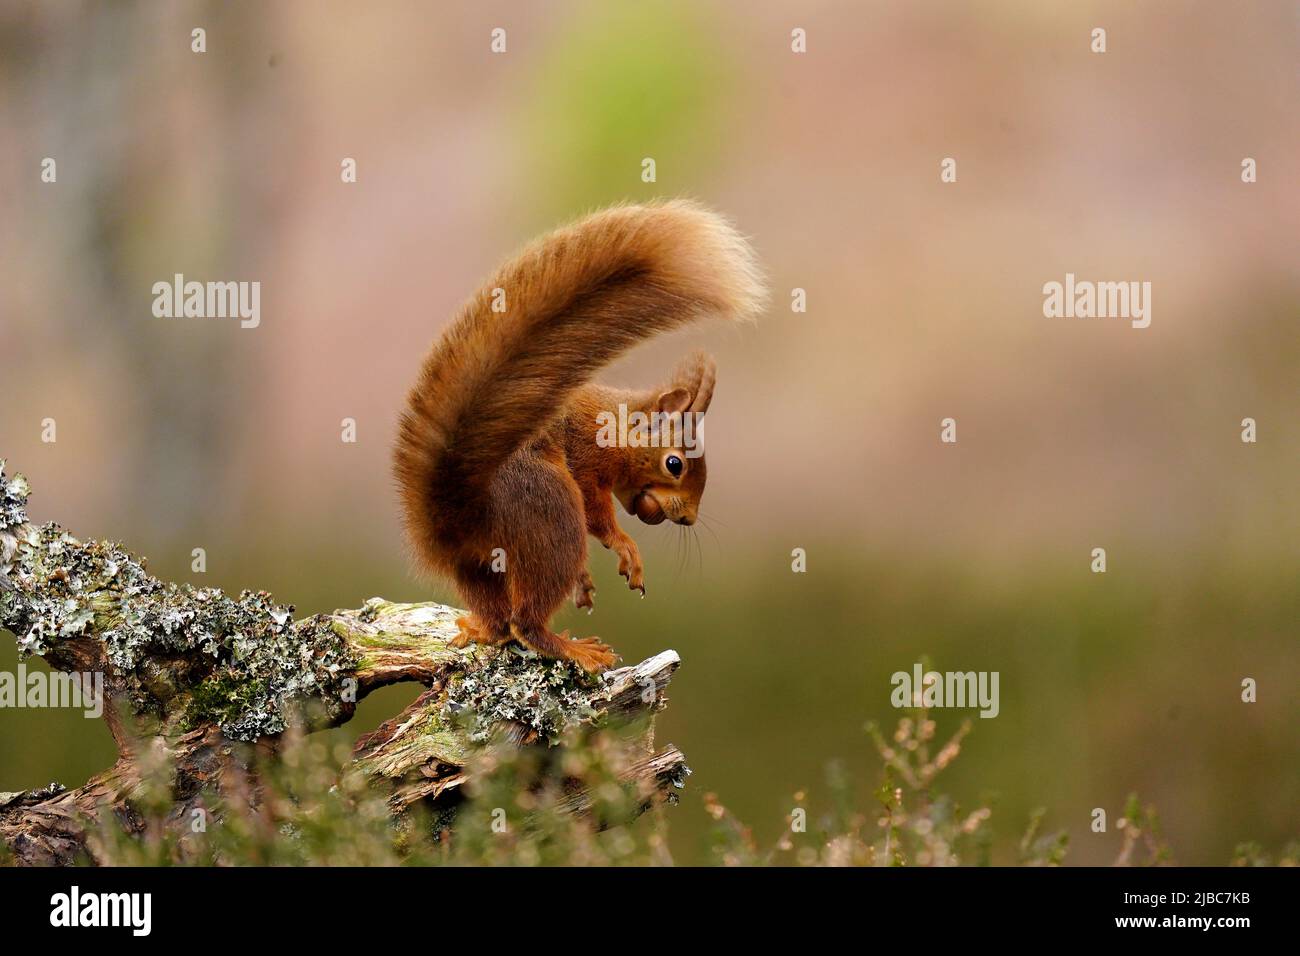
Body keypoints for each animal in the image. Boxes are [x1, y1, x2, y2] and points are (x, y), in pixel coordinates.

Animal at [393, 200, 764, 672]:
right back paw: (572, 648)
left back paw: (479, 628)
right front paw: (625, 547)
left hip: (479, 565)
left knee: (498, 619)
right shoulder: (587, 460)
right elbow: (597, 512)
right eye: (674, 464)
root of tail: (455, 513)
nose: (689, 519)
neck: (615, 423)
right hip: (550, 509)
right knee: (524, 622)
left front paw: (586, 581)